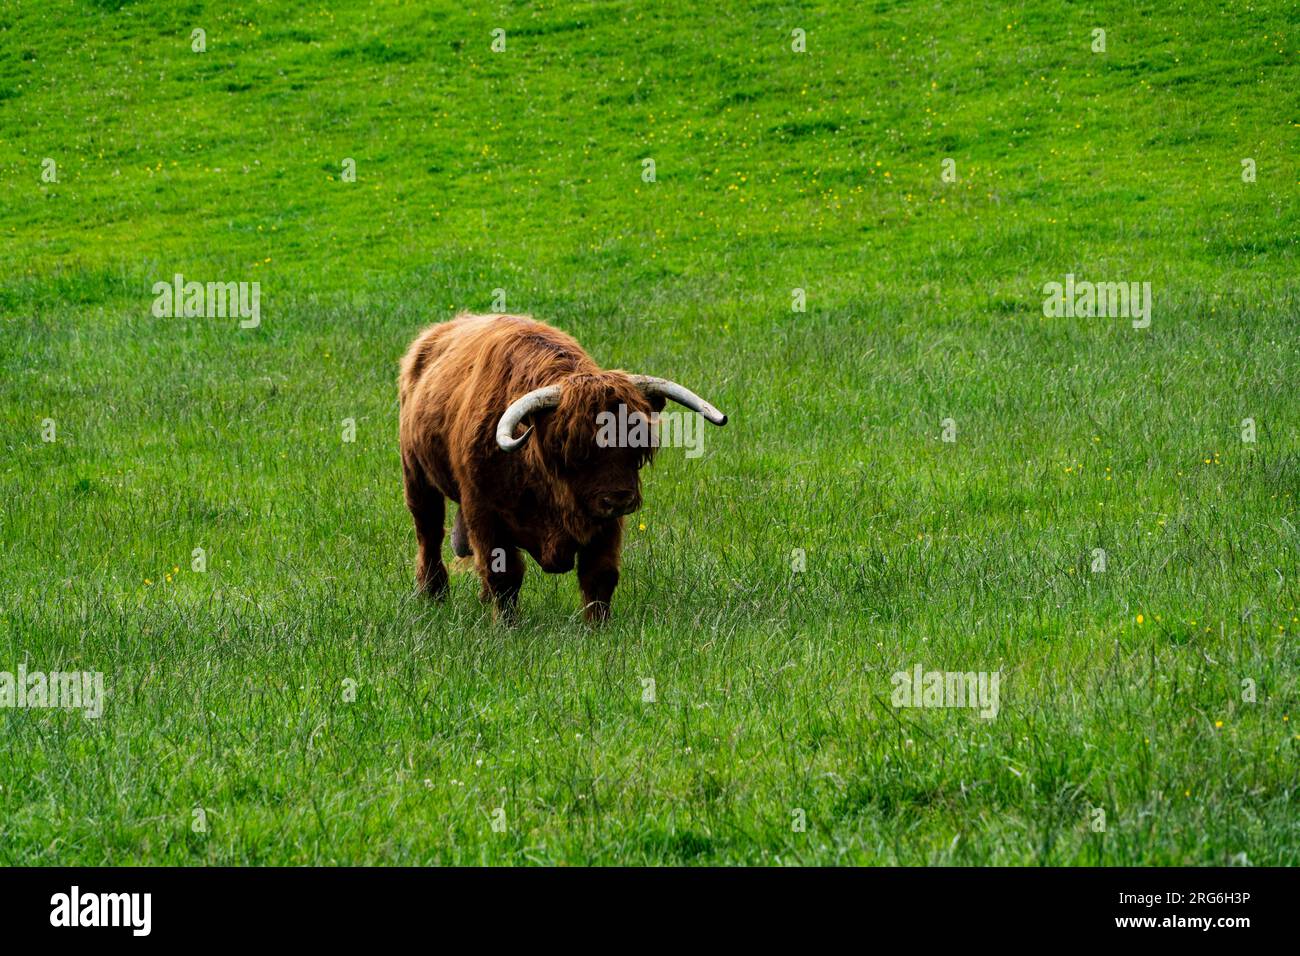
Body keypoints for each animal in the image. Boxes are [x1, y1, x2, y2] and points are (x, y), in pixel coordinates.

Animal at [398, 313, 727, 623]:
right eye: (575, 452)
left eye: (638, 446)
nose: (619, 498)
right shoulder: (484, 511)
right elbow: (503, 574)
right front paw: (506, 626)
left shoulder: (606, 523)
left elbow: (600, 574)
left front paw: (598, 628)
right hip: (416, 475)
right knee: (428, 532)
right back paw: (433, 593)